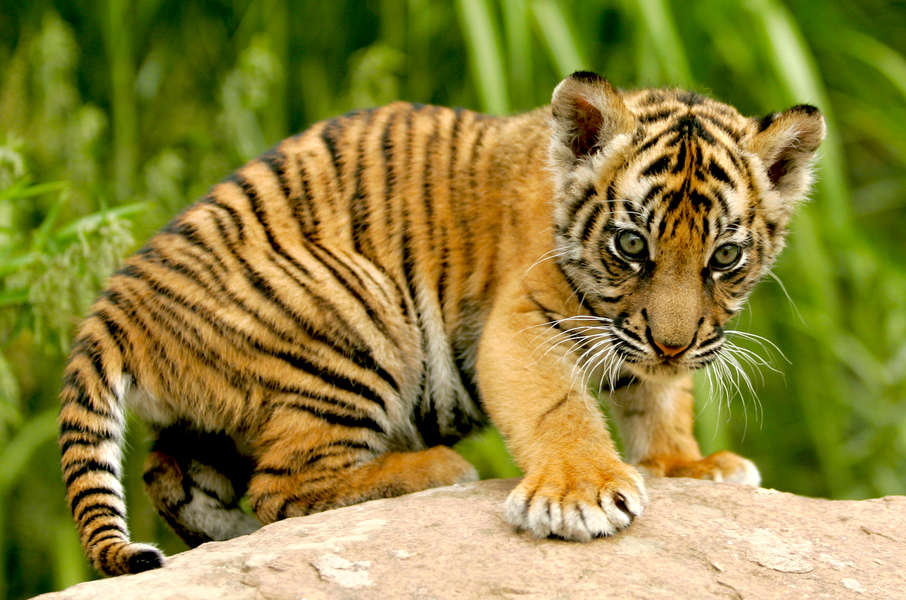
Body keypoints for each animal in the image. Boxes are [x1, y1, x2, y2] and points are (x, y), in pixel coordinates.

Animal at [58, 70, 825, 576]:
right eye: (632, 245)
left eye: (724, 257)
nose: (672, 342)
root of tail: (111, 306)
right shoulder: (523, 321)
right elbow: (560, 407)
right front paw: (581, 495)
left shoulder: (645, 344)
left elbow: (661, 398)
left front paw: (688, 463)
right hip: (359, 315)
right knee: (283, 486)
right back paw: (434, 468)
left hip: (213, 421)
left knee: (177, 476)